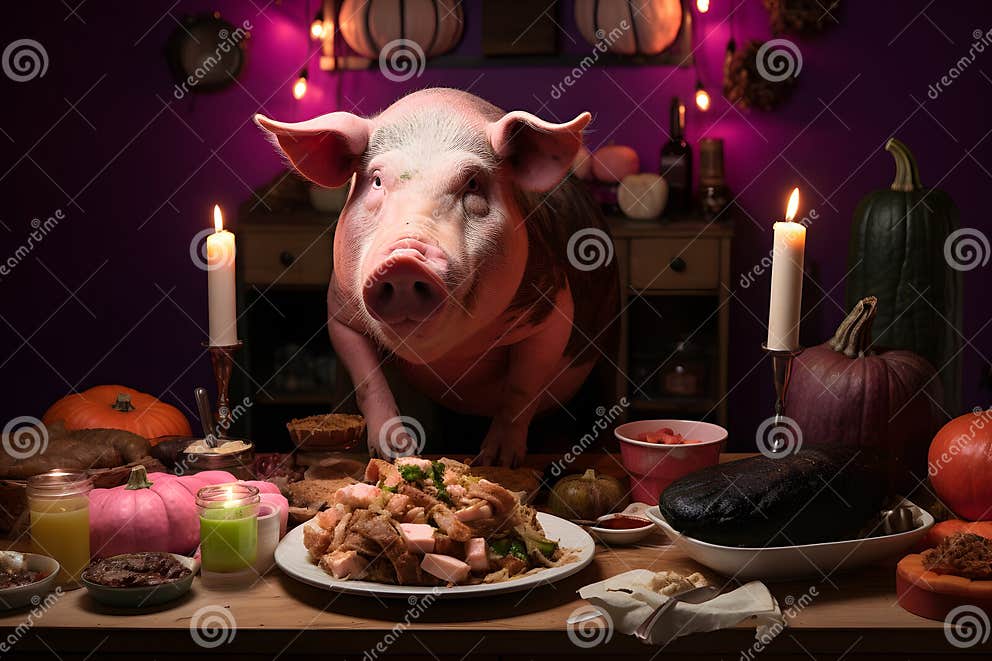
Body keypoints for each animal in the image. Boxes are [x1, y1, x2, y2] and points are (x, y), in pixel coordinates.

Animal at [256, 88, 618, 466]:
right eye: (377, 180)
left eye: (473, 183)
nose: (404, 260)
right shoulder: (340, 314)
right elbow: (368, 380)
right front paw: (396, 451)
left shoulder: (554, 310)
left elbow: (521, 389)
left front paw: (497, 461)